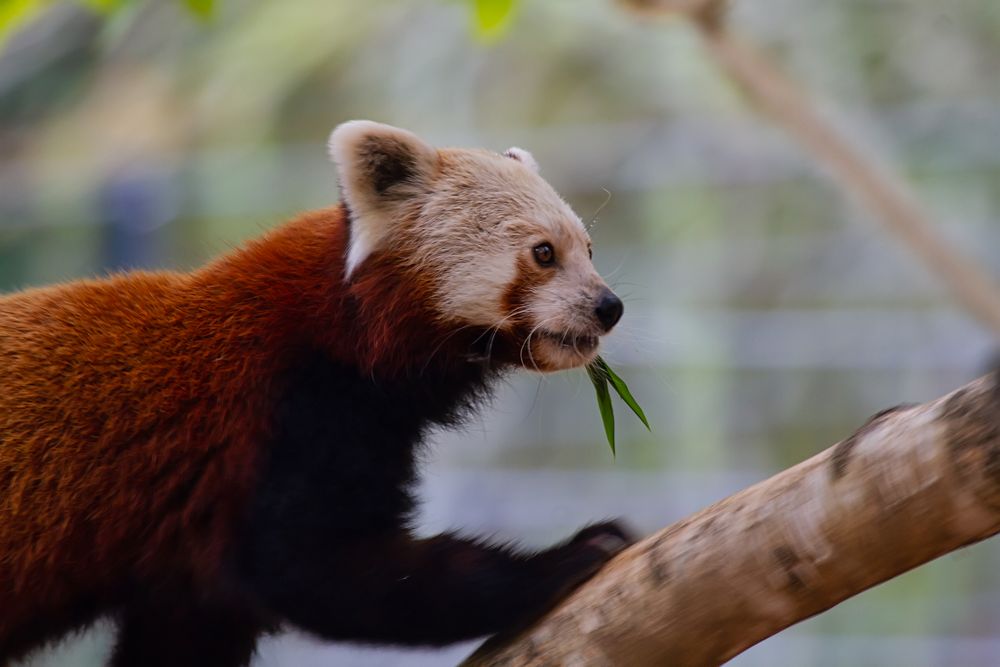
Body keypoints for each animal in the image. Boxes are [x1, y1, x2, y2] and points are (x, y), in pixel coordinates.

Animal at [0, 121, 632, 667]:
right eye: (543, 253)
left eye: (590, 250)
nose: (610, 307)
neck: (344, 331)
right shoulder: (290, 415)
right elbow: (314, 570)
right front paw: (565, 559)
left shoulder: (191, 556)